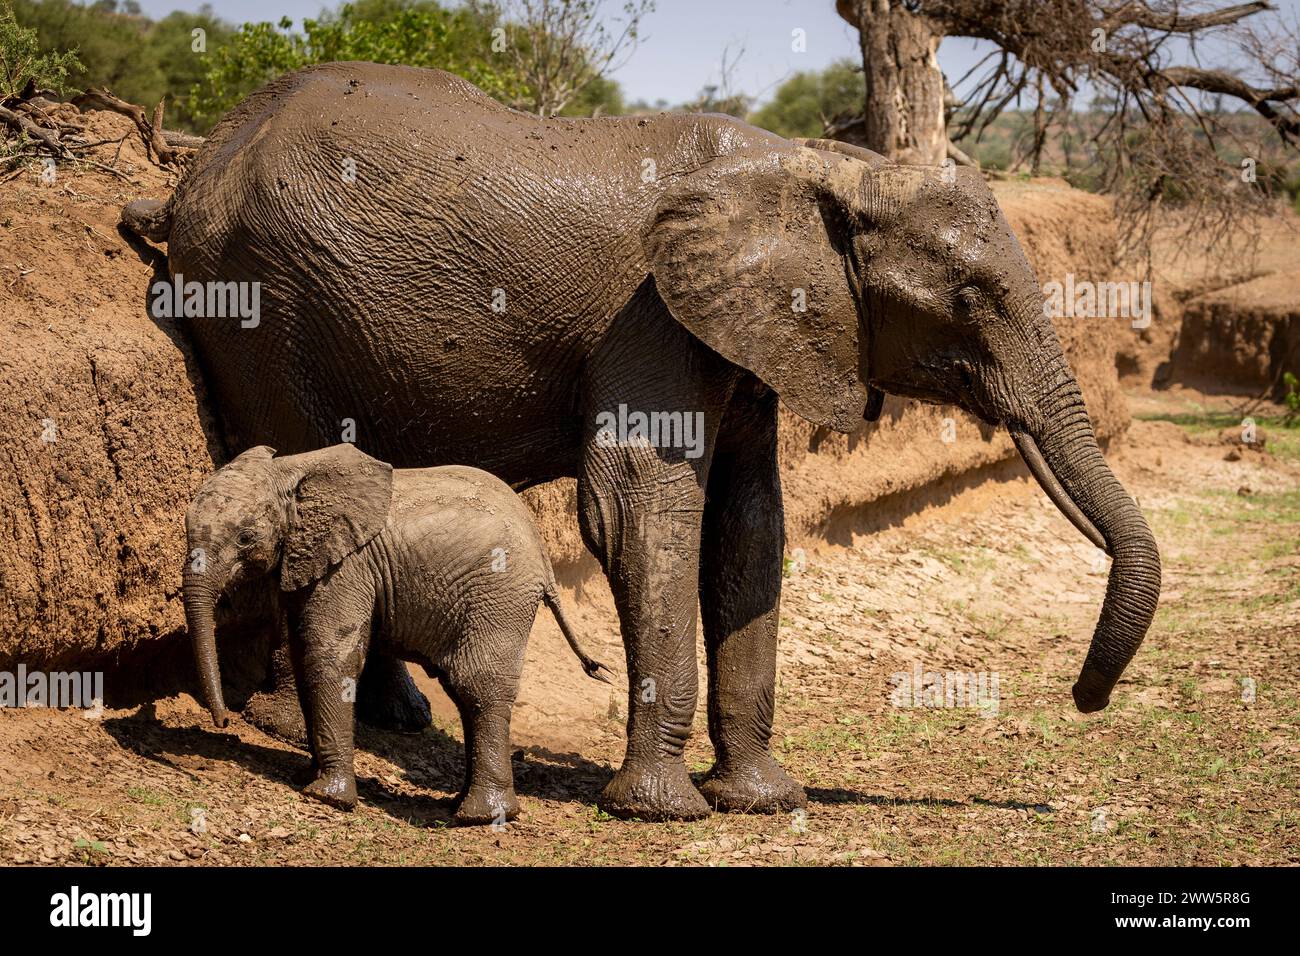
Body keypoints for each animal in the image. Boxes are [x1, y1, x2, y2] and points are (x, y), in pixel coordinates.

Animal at [183, 443, 611, 824]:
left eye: (245, 538)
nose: (222, 722)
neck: (291, 469)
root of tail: (542, 553)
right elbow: (306, 654)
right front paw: (306, 778)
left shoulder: (350, 565)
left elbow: (329, 655)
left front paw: (326, 797)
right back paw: (460, 805)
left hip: (500, 596)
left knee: (477, 683)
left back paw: (478, 816)